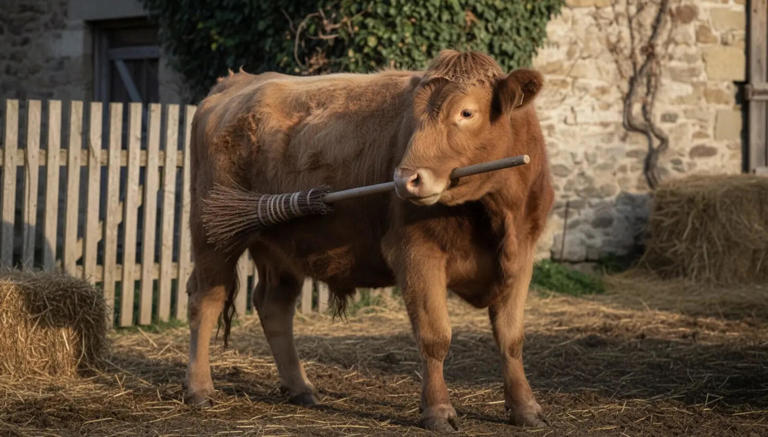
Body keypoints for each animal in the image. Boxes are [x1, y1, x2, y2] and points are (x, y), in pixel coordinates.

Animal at [186, 50, 554, 431]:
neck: (496, 210)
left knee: (274, 306)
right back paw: (200, 389)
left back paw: (300, 388)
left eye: (466, 112)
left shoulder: (522, 257)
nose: (405, 180)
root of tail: (236, 83)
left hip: (280, 246)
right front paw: (438, 410)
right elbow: (435, 336)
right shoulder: (416, 253)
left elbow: (511, 338)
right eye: (414, 117)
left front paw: (526, 407)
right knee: (205, 300)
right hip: (212, 233)